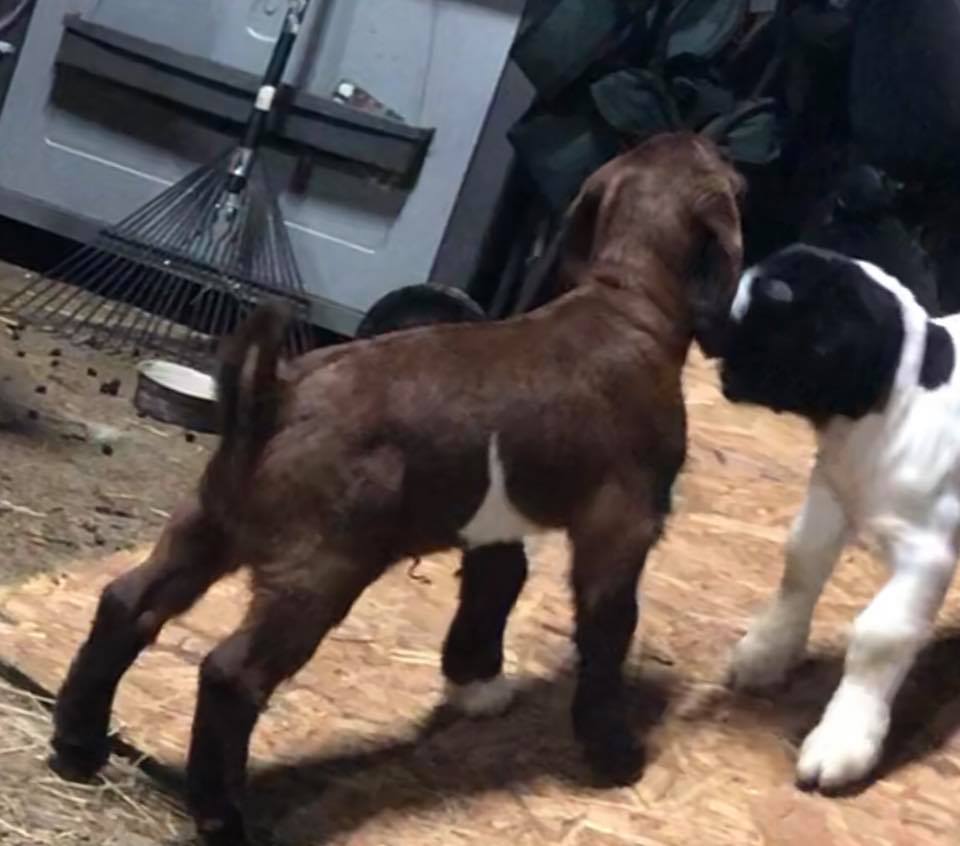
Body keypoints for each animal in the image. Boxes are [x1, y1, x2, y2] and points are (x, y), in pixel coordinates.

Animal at [50, 133, 744, 845]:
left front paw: (476, 683)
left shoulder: (493, 521)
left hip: (205, 526)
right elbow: (608, 633)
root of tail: (277, 398)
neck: (624, 299)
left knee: (128, 604)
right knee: (231, 675)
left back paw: (79, 744)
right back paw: (224, 817)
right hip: (320, 571)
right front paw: (613, 751)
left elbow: (497, 585)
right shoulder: (621, 526)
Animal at [722, 243, 959, 792]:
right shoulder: (830, 494)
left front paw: (843, 741)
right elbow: (800, 564)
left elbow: (881, 636)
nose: (721, 365)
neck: (897, 406)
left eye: (770, 316)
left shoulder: (926, 550)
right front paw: (767, 651)